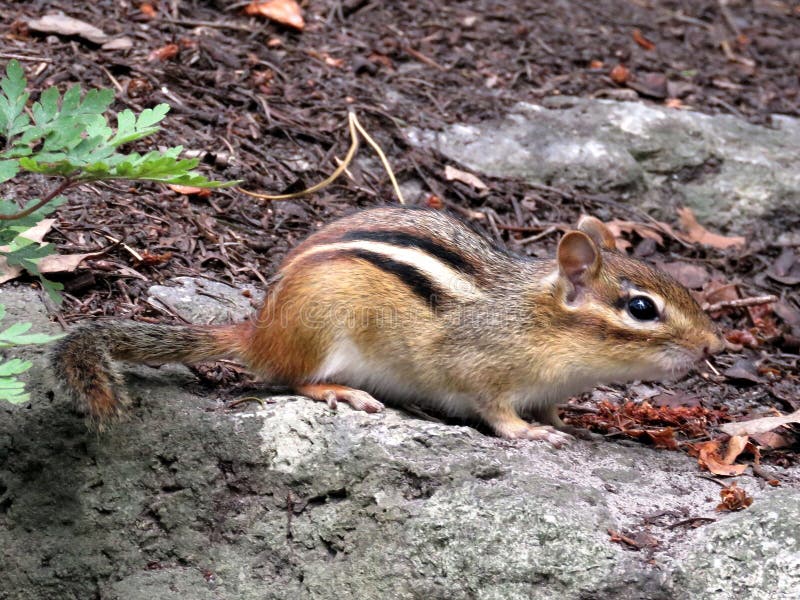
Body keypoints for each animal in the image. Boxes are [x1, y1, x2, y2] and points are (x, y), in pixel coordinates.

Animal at [51, 206, 724, 445]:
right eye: (642, 308)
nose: (713, 344)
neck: (537, 319)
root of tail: (259, 329)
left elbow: (554, 410)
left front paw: (567, 424)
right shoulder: (481, 369)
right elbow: (496, 412)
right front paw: (532, 434)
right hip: (323, 331)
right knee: (289, 380)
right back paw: (343, 392)